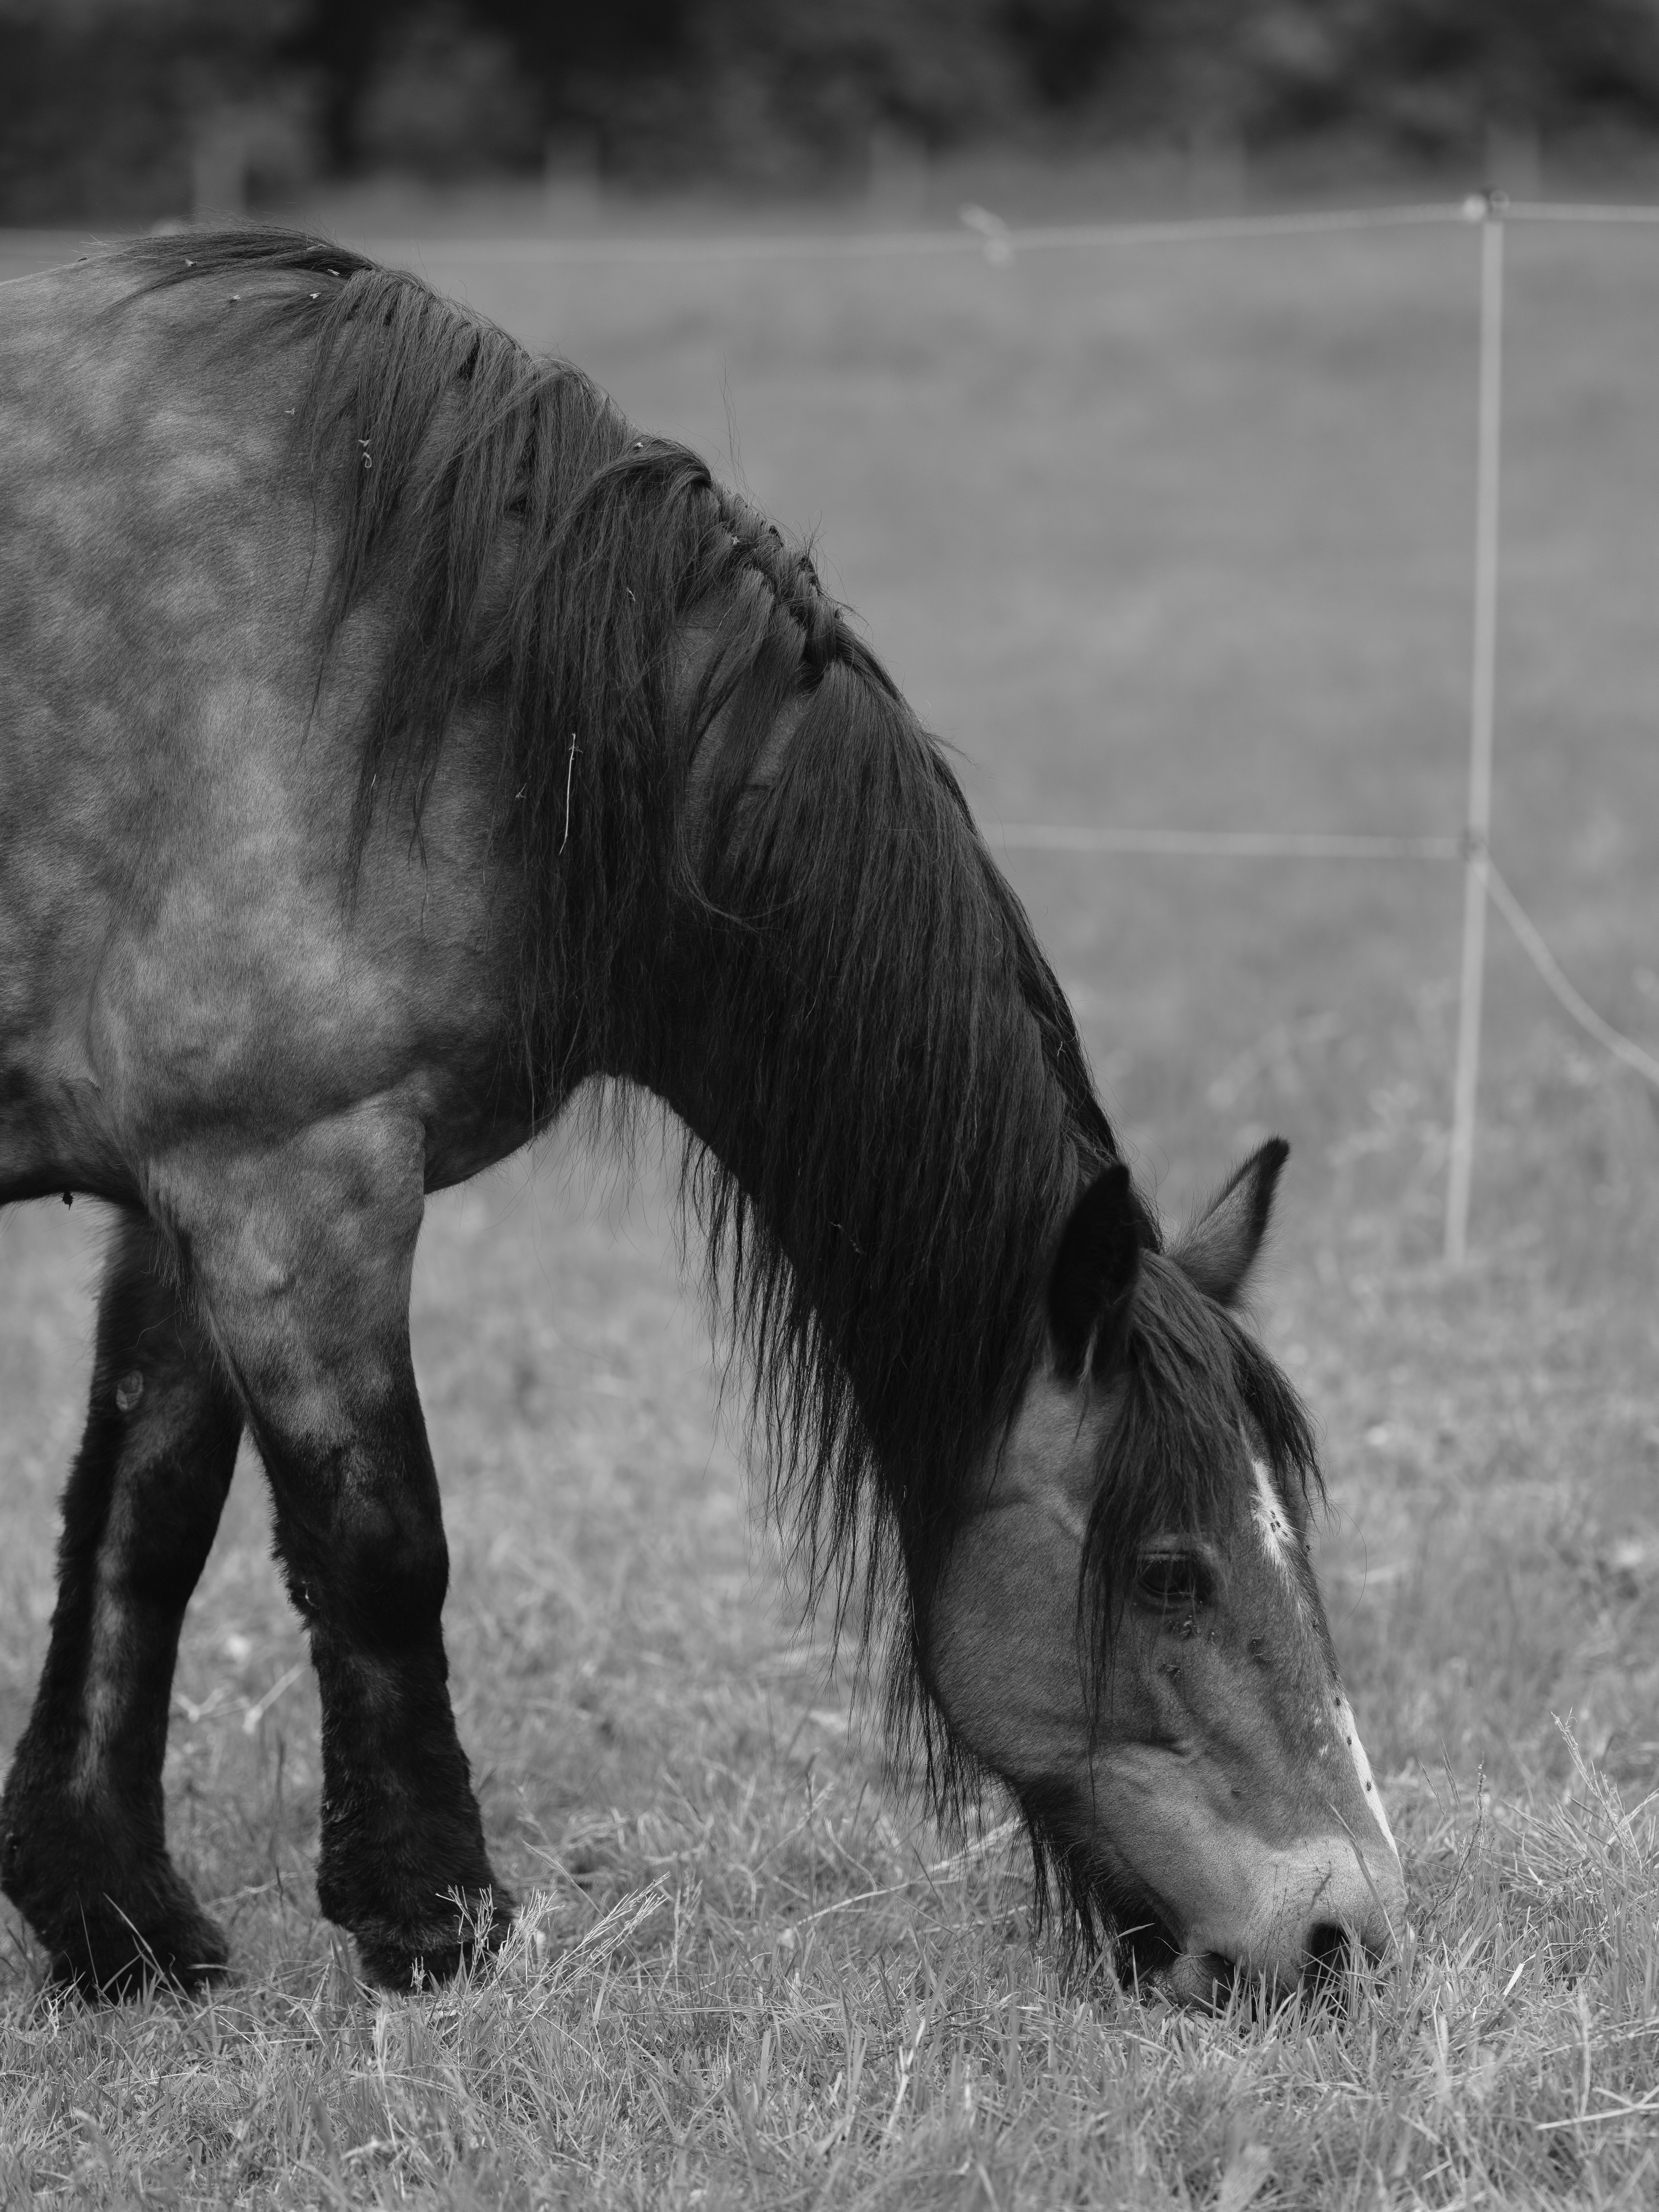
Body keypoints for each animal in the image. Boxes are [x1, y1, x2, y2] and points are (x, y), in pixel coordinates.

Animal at [0, 228, 1403, 2003]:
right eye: (1168, 1571)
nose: (1343, 1924)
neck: (405, 655)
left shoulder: (190, 1192)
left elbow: (138, 1527)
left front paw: (112, 1914)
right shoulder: (296, 1183)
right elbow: (382, 1546)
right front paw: (430, 1917)